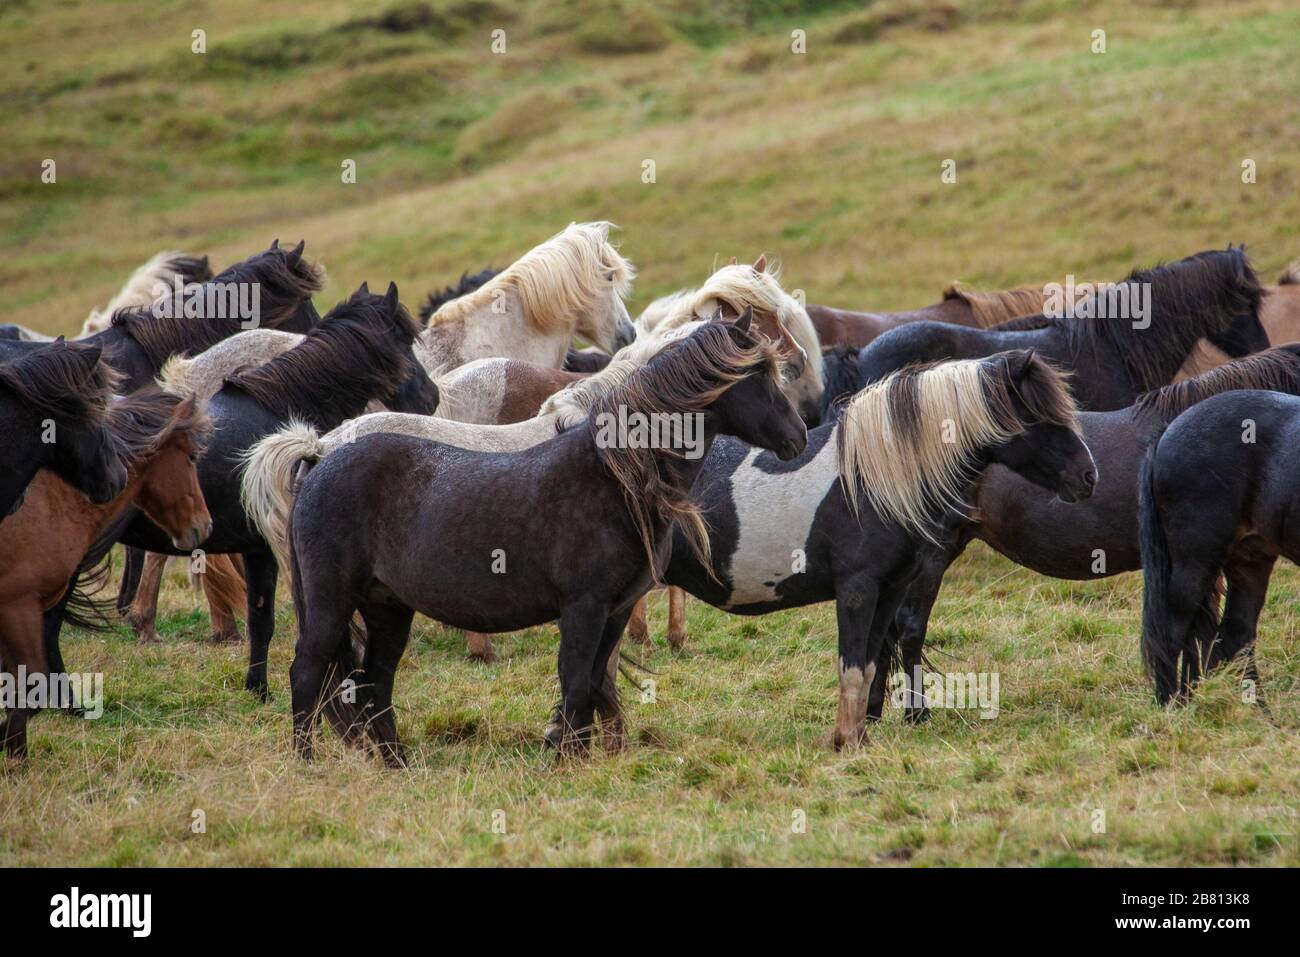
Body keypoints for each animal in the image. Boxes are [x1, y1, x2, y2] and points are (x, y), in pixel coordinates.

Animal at [41, 284, 428, 700]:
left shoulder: (255, 547)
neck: (278, 408)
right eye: (405, 341)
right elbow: (270, 618)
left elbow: (259, 619)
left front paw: (255, 688)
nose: (430, 397)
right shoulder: (271, 546)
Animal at [284, 313, 807, 765]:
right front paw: (564, 763)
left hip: (386, 607)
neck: (613, 477)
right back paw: (307, 764)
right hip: (332, 600)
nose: (799, 436)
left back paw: (397, 765)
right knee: (308, 672)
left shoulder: (615, 611)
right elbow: (575, 682)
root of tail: (319, 461)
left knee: (376, 682)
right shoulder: (582, 609)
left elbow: (593, 684)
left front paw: (577, 755)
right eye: (757, 374)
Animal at [649, 349, 1093, 749]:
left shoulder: (890, 590)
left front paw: (861, 736)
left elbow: (869, 663)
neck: (872, 479)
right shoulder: (857, 590)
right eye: (1035, 415)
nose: (1089, 476)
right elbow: (851, 664)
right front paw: (845, 741)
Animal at [1139, 388, 1300, 704]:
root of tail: (1168, 431)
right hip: (1196, 560)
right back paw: (1170, 706)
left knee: (1237, 633)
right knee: (1172, 633)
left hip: (1249, 559)